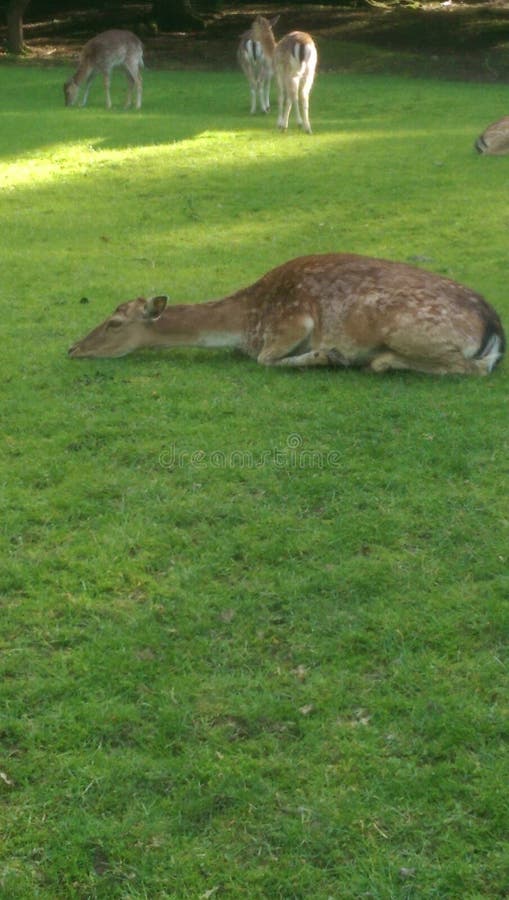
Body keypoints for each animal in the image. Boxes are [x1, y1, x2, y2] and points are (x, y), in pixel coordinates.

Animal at [68, 254, 505, 376]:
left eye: (114, 323)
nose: (73, 348)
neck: (243, 324)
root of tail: (494, 326)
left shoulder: (292, 320)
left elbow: (266, 359)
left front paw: (328, 355)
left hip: (410, 327)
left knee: (472, 367)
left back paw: (372, 360)